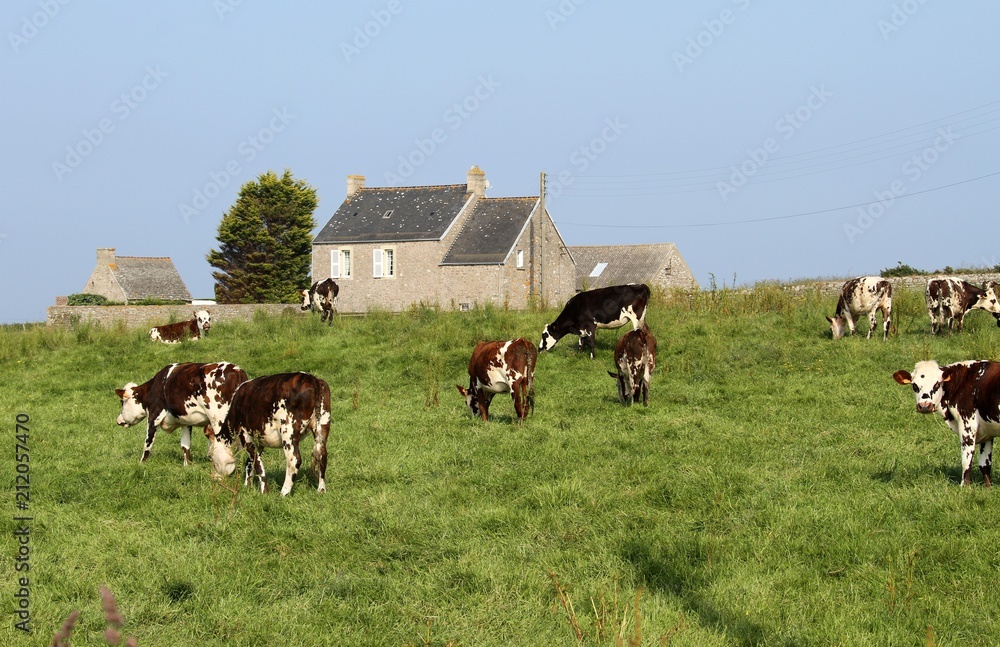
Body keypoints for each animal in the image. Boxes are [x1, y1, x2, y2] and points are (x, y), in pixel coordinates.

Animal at [114, 362, 248, 466]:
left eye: (122, 402)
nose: (118, 420)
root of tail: (237, 370)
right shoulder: (186, 421)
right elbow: (185, 445)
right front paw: (187, 465)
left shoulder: (154, 417)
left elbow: (147, 444)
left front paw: (141, 464)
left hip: (218, 420)